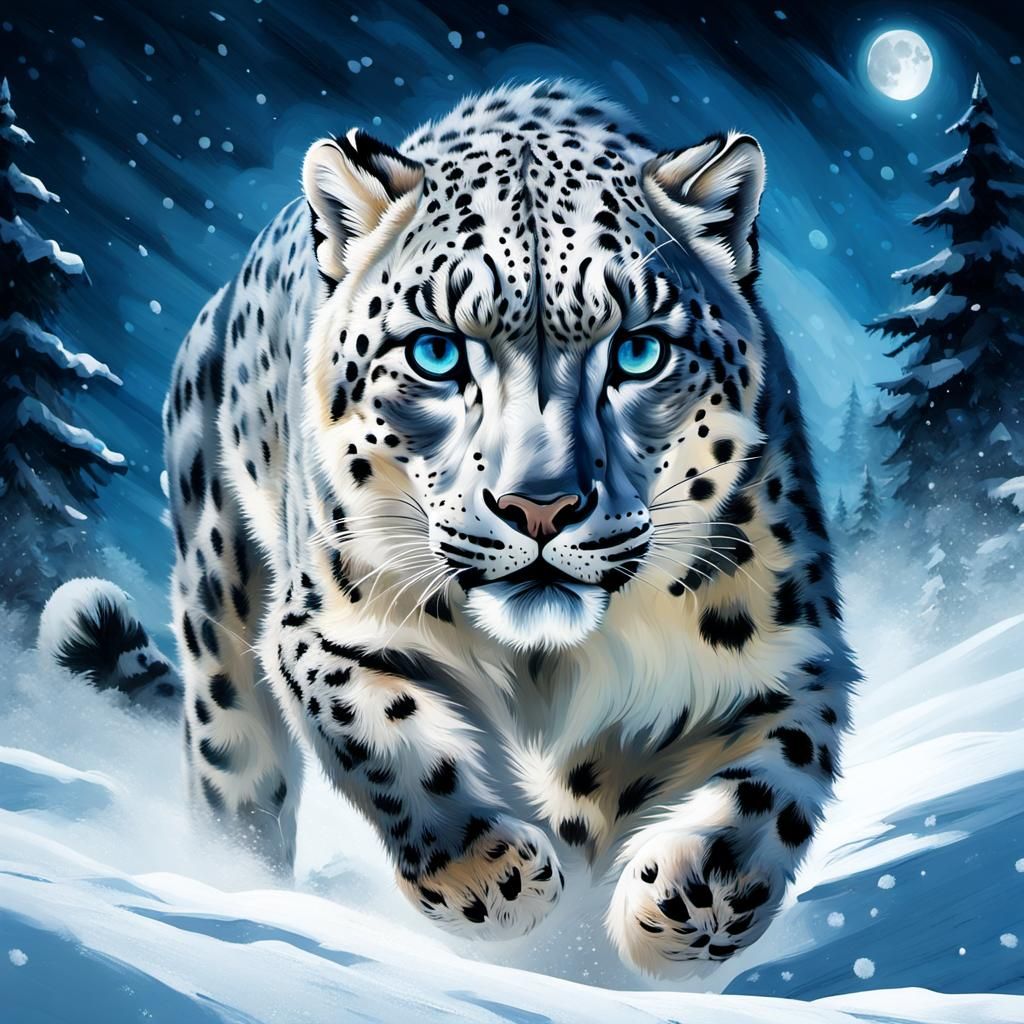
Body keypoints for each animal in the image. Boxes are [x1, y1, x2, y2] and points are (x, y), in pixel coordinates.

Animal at [163, 79, 856, 975]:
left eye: (638, 351)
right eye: (435, 352)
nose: (541, 506)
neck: (550, 668)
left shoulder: (793, 654)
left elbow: (779, 781)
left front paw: (686, 907)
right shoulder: (321, 629)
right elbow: (385, 737)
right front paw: (490, 880)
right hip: (217, 618)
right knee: (237, 768)